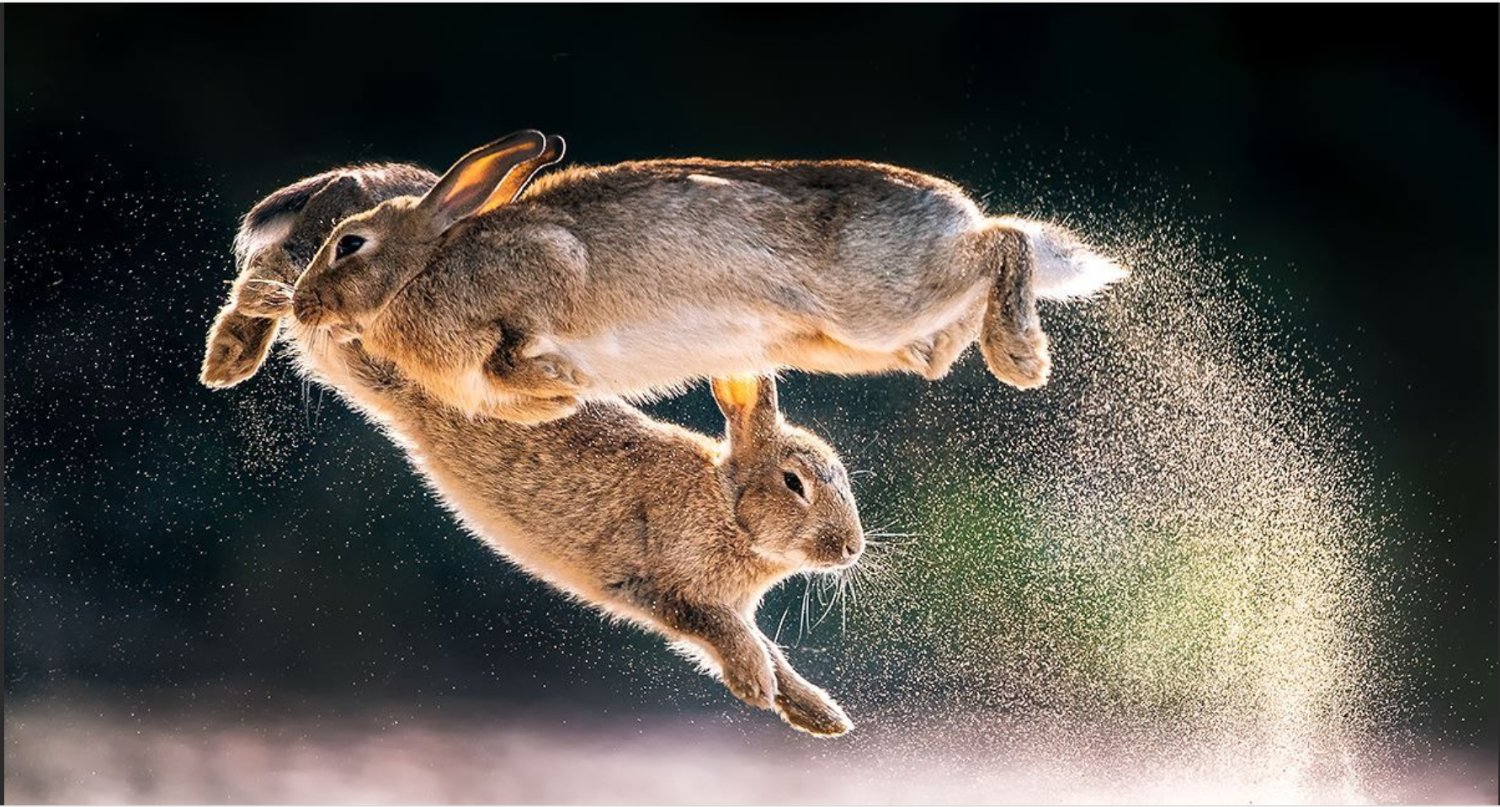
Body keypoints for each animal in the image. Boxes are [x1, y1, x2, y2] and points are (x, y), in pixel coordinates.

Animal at [203, 165, 864, 736]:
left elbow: (774, 651)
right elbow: (731, 636)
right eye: (795, 482)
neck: (727, 504)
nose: (850, 549)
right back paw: (230, 354)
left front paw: (821, 716)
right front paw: (758, 687)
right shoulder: (662, 583)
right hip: (354, 319)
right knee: (285, 267)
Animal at [290, 129, 1129, 422]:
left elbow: (513, 347)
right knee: (942, 343)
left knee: (1007, 241)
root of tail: (954, 210)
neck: (423, 267)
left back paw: (1021, 357)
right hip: (874, 339)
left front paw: (557, 374)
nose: (299, 307)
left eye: (349, 244)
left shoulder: (545, 268)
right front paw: (559, 394)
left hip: (877, 302)